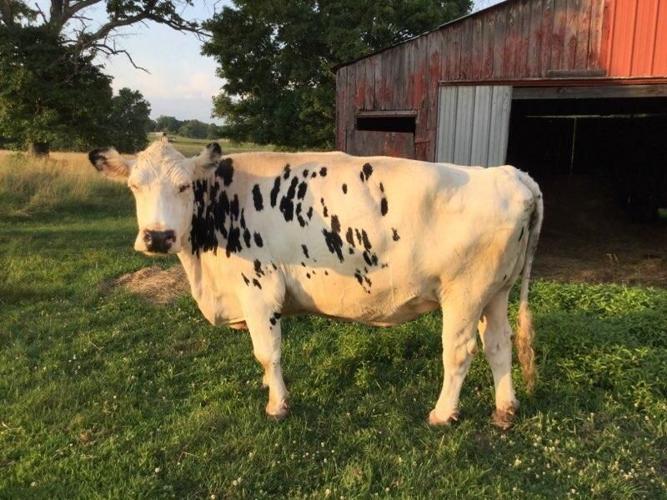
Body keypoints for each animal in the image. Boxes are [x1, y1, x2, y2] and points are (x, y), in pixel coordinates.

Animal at [88, 135, 543, 429]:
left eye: (184, 186)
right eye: (133, 187)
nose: (158, 237)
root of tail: (511, 174)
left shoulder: (259, 291)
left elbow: (267, 353)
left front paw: (277, 404)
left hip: (464, 293)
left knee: (460, 353)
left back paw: (442, 414)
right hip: (495, 293)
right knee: (498, 346)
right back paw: (504, 411)